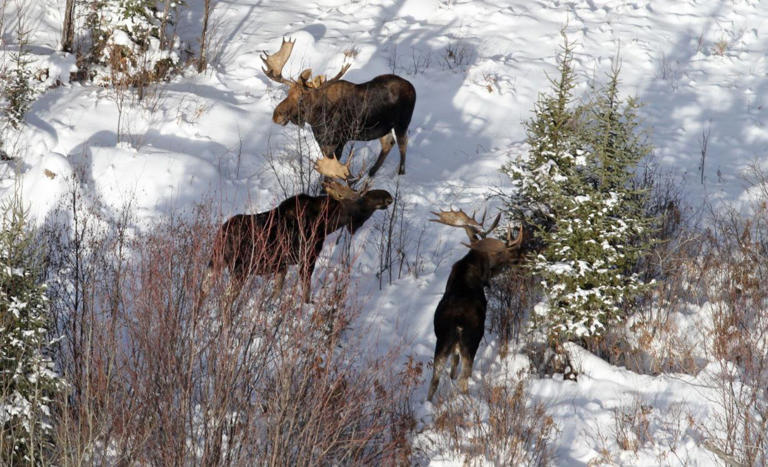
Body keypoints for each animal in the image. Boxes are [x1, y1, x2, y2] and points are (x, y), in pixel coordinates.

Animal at [207, 155, 392, 304]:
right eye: (361, 199)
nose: (388, 196)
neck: (325, 225)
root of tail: (220, 236)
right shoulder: (307, 257)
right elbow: (306, 294)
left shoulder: (282, 266)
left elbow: (276, 293)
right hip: (240, 268)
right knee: (225, 301)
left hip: (215, 262)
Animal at [261, 37, 416, 177]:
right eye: (288, 93)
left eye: (300, 98)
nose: (276, 116)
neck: (316, 120)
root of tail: (412, 88)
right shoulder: (323, 143)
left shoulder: (339, 141)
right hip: (383, 127)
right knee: (388, 143)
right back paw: (371, 172)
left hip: (402, 123)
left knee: (403, 144)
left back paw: (400, 174)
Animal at [426, 209, 525, 402]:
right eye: (503, 255)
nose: (520, 258)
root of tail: (457, 326)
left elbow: (452, 369)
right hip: (471, 341)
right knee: (464, 379)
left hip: (442, 343)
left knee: (434, 380)